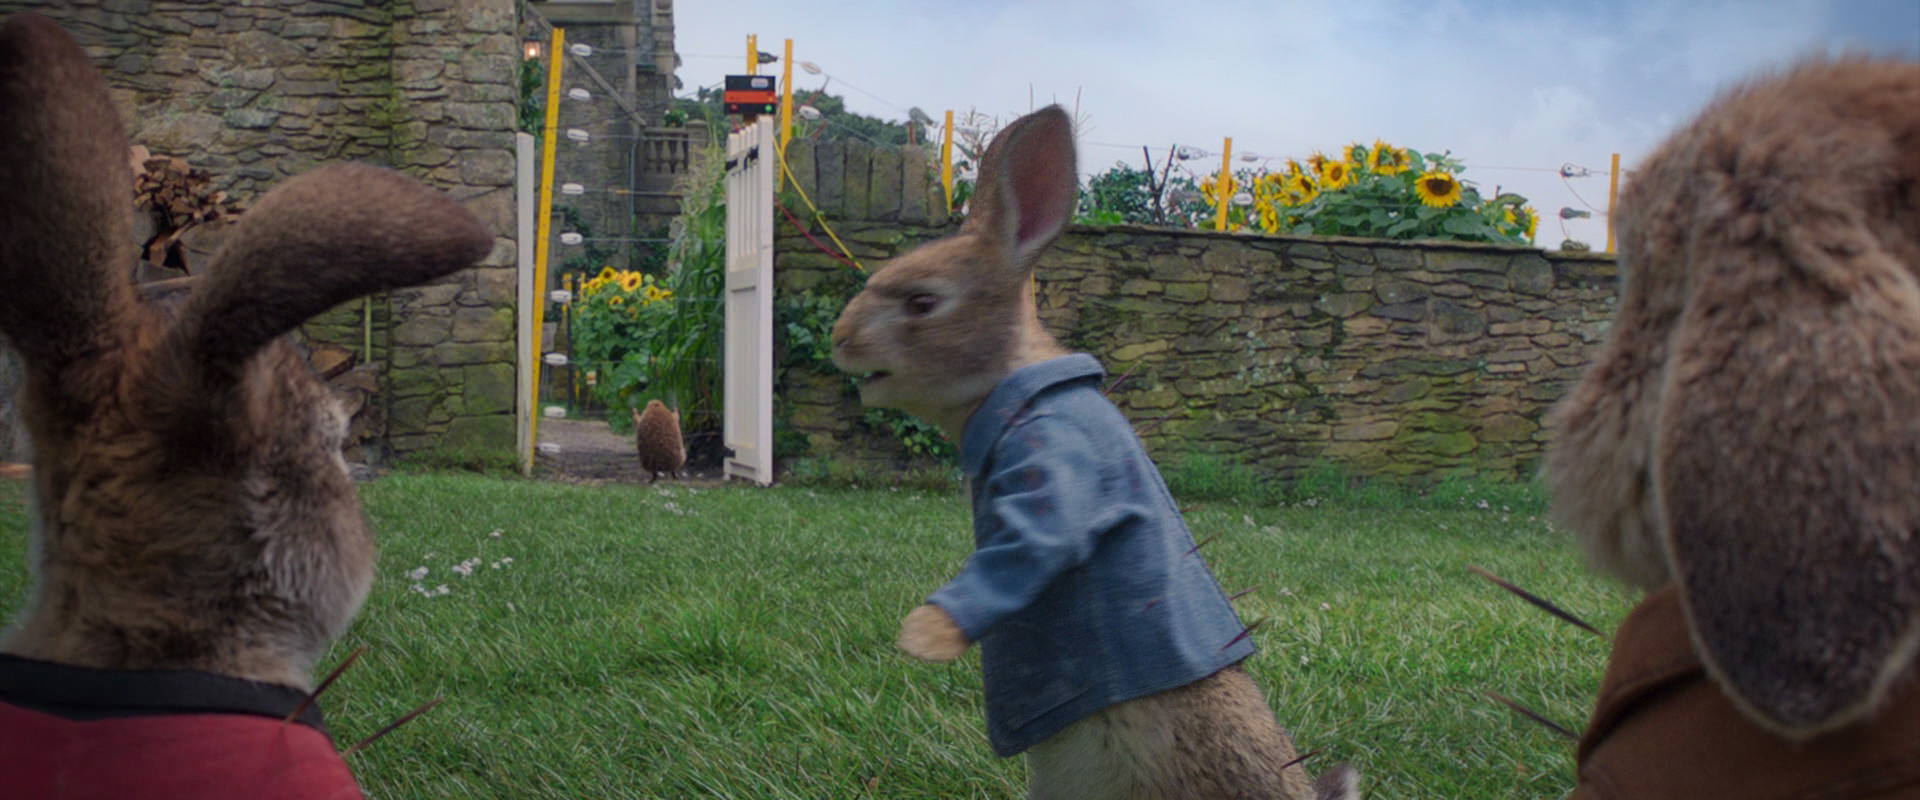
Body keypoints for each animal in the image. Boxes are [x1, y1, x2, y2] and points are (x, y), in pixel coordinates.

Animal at [831, 105, 1356, 800]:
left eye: (922, 302)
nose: (839, 341)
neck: (1014, 378)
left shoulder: (1052, 465)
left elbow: (1029, 545)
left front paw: (924, 636)